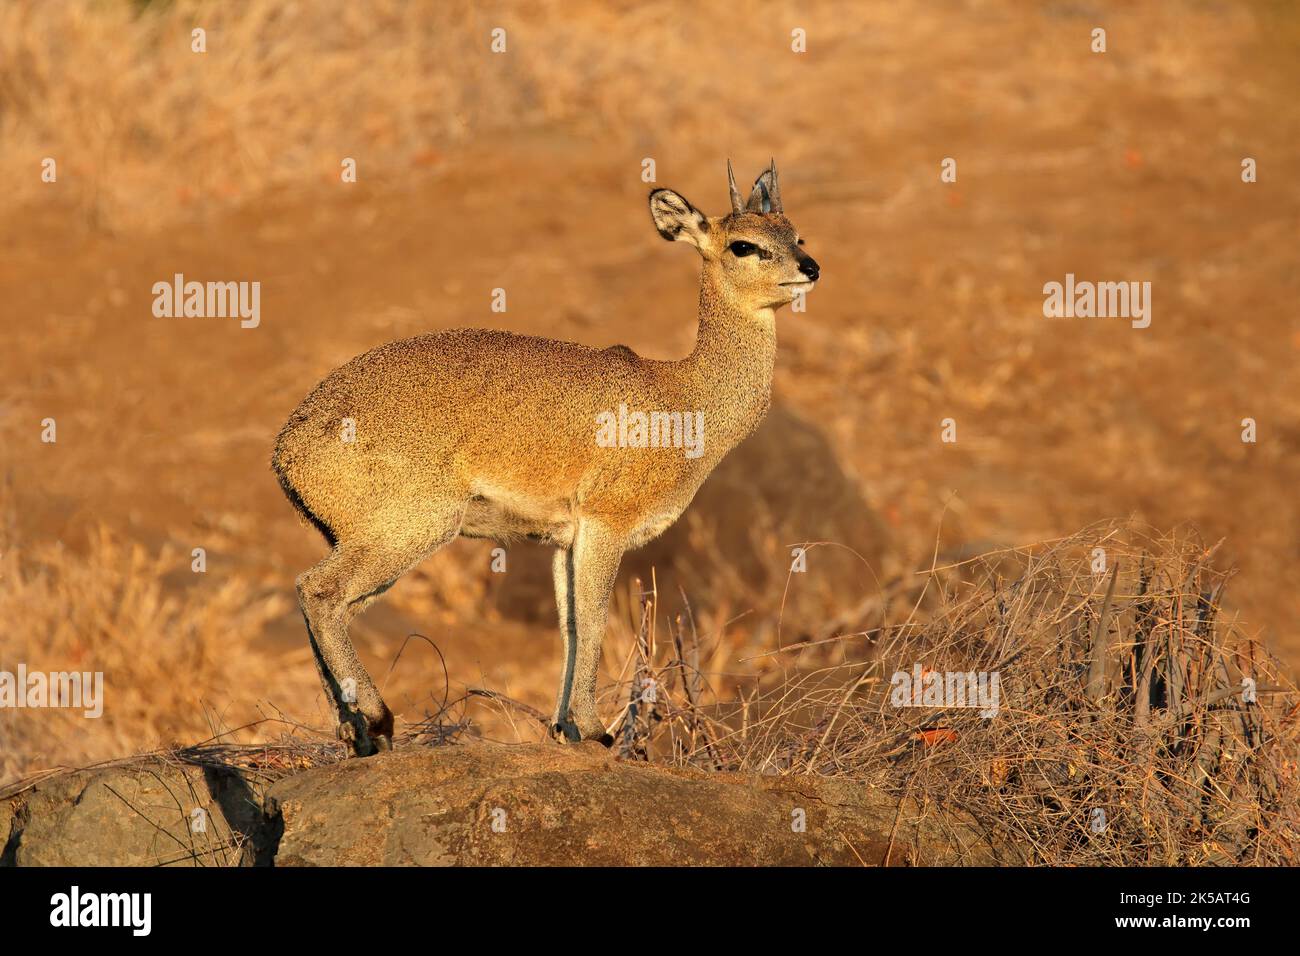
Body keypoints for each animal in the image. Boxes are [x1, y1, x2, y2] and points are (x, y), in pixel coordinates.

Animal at [271, 160, 819, 755]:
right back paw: (376, 718)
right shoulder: (605, 525)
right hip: (410, 528)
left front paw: (566, 728)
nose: (811, 268)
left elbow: (570, 626)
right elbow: (596, 620)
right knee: (318, 592)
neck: (682, 397)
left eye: (797, 234)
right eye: (744, 245)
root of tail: (288, 449)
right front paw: (597, 729)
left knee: (325, 605)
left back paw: (355, 733)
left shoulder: (564, 539)